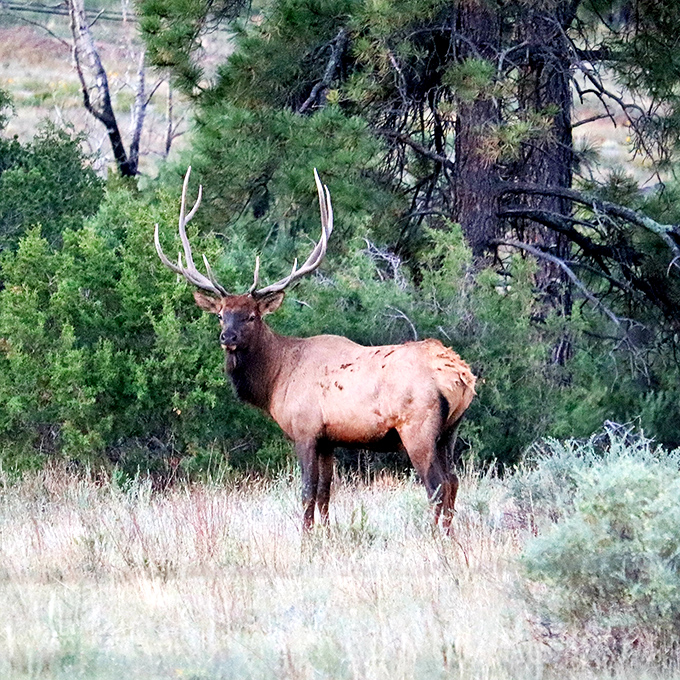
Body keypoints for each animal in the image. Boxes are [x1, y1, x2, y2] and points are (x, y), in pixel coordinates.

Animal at [155, 168, 476, 532]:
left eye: (251, 315)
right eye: (221, 314)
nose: (228, 337)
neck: (276, 379)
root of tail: (461, 376)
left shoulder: (305, 429)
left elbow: (307, 491)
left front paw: (306, 535)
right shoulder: (328, 439)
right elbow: (325, 492)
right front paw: (326, 531)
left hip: (418, 427)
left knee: (436, 485)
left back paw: (435, 535)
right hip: (450, 431)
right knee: (453, 481)